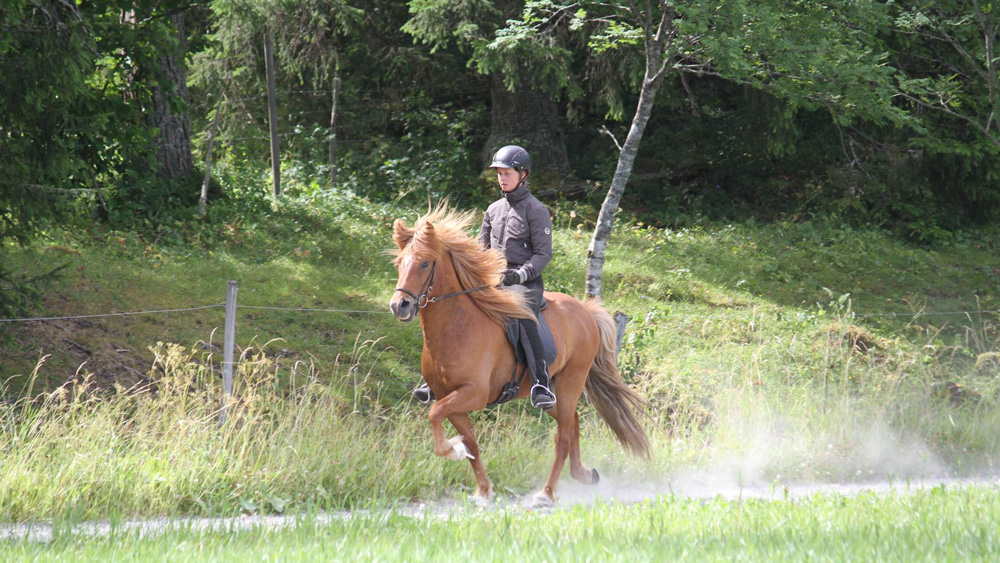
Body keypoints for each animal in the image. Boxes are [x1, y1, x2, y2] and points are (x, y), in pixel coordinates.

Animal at [389, 204, 650, 506]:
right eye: (399, 263)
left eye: (424, 263)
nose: (399, 305)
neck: (458, 328)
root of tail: (585, 310)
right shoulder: (449, 397)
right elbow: (469, 440)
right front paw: (483, 490)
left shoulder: (473, 394)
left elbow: (435, 415)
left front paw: (453, 450)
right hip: (555, 393)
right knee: (572, 423)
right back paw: (583, 474)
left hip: (571, 382)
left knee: (563, 436)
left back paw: (546, 494)